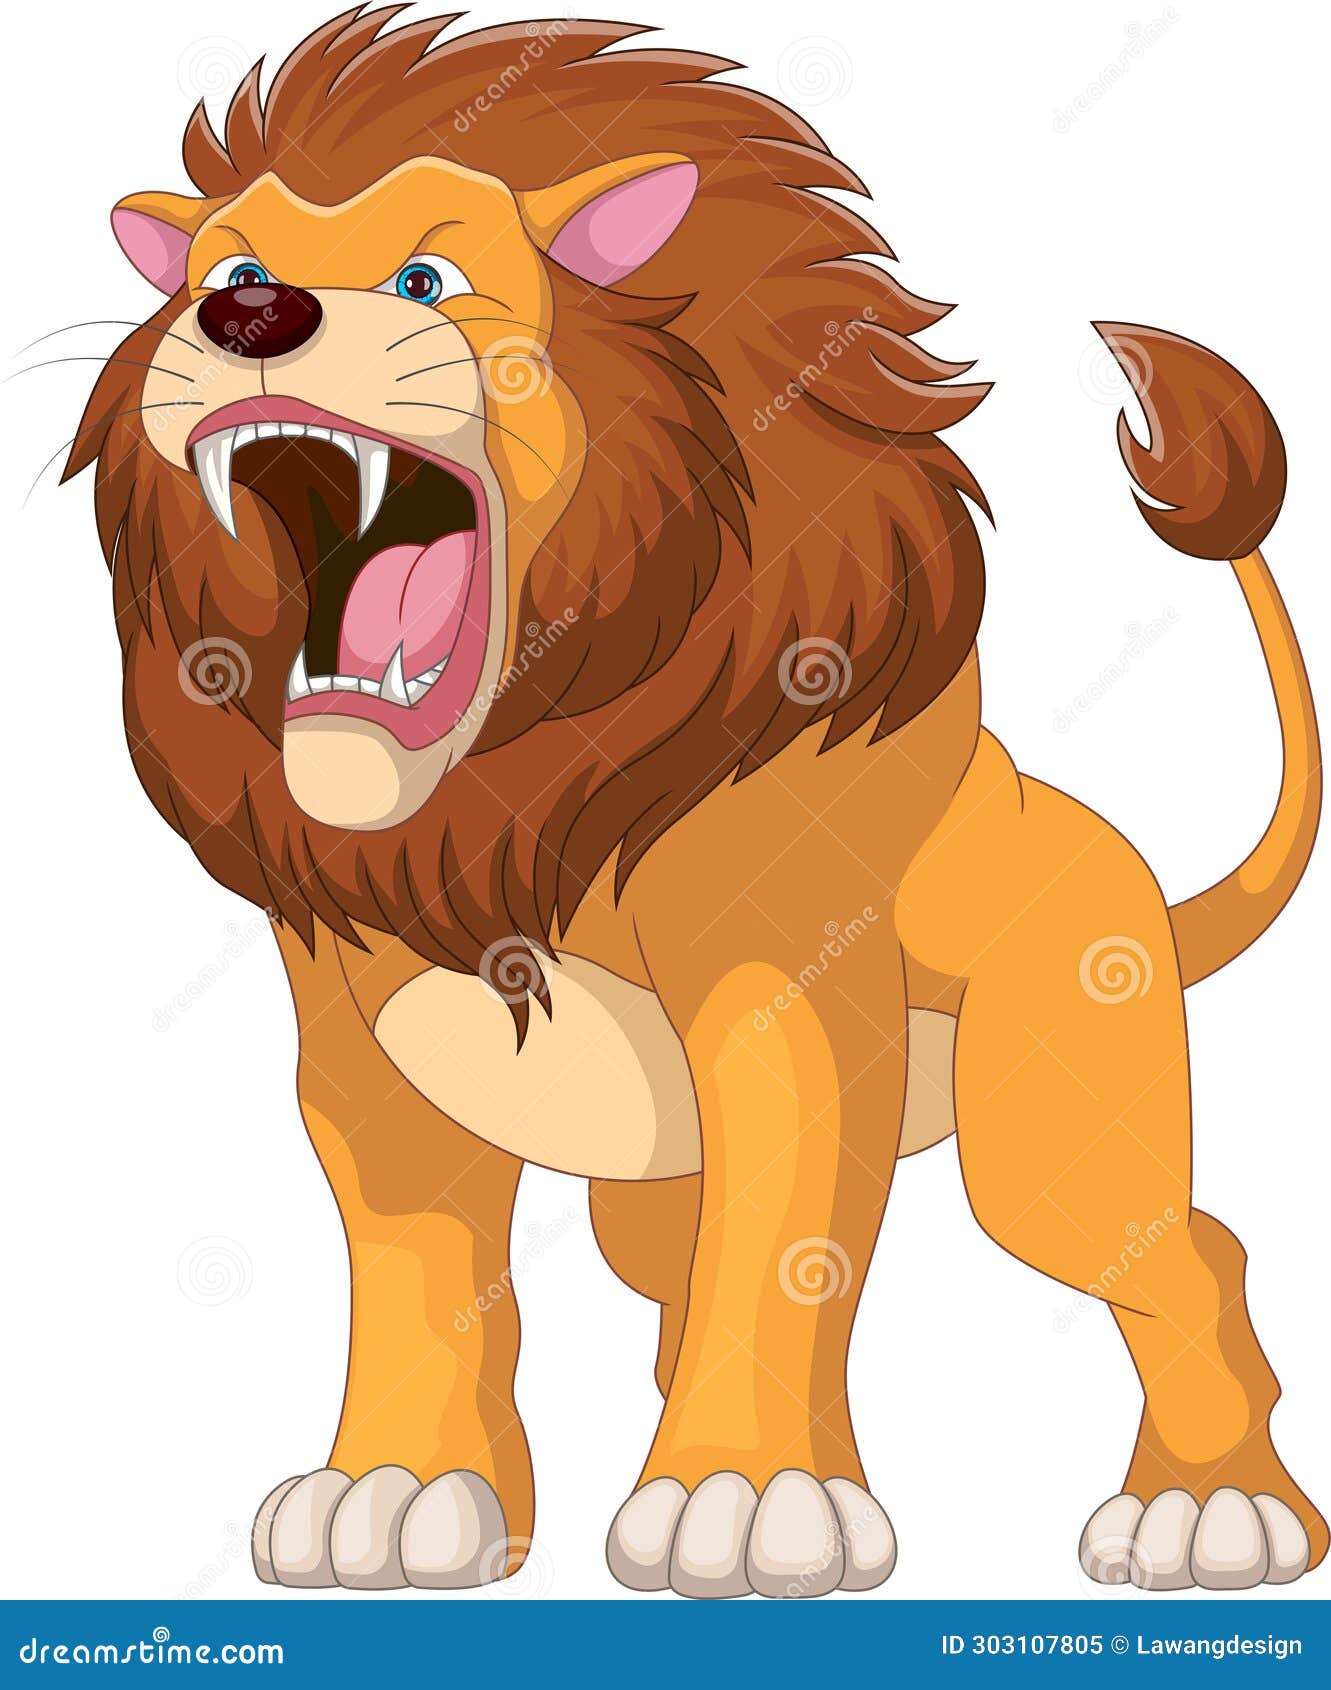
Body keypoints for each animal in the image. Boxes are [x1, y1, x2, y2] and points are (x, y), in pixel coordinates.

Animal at [66, 8, 1323, 1596]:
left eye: (426, 279)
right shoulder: (363, 1048)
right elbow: (420, 1271)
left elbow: (779, 1244)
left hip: (1046, 1124)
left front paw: (744, 1494)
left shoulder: (783, 997)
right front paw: (398, 1487)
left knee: (1183, 1256)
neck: (501, 783)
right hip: (652, 1197)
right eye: (226, 271)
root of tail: (1121, 861)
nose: (251, 320)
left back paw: (1210, 1511)